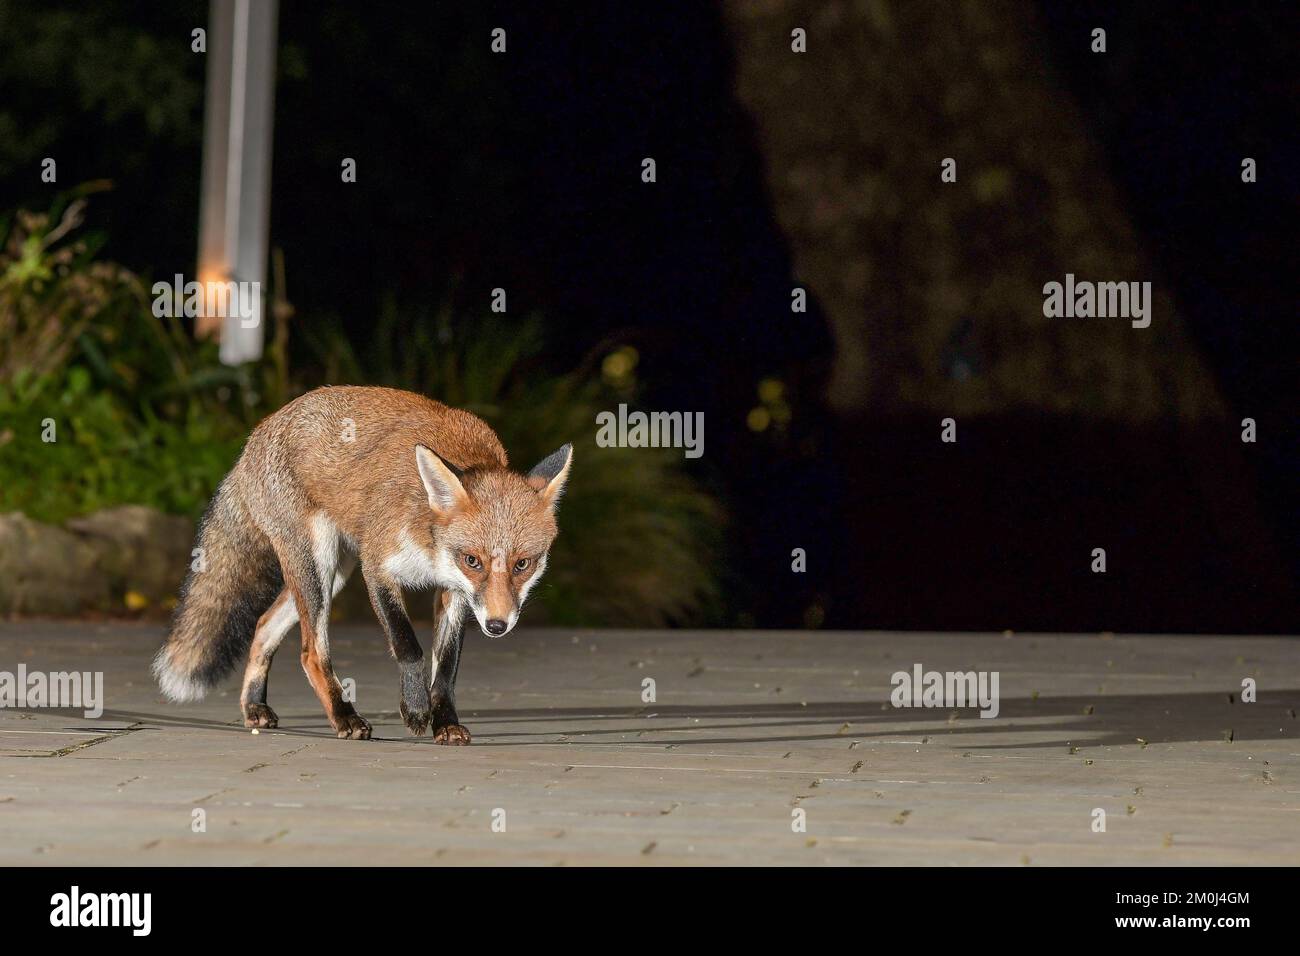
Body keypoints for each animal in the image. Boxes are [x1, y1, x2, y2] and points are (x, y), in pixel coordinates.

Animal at [151, 385, 572, 744]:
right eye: (473, 560)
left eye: (523, 564)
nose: (497, 626)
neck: (428, 535)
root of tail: (255, 436)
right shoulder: (378, 566)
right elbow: (408, 646)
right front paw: (415, 710)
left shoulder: (454, 590)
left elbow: (447, 667)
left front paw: (445, 723)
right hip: (317, 564)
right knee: (311, 652)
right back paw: (344, 717)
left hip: (335, 572)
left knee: (263, 625)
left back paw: (254, 705)